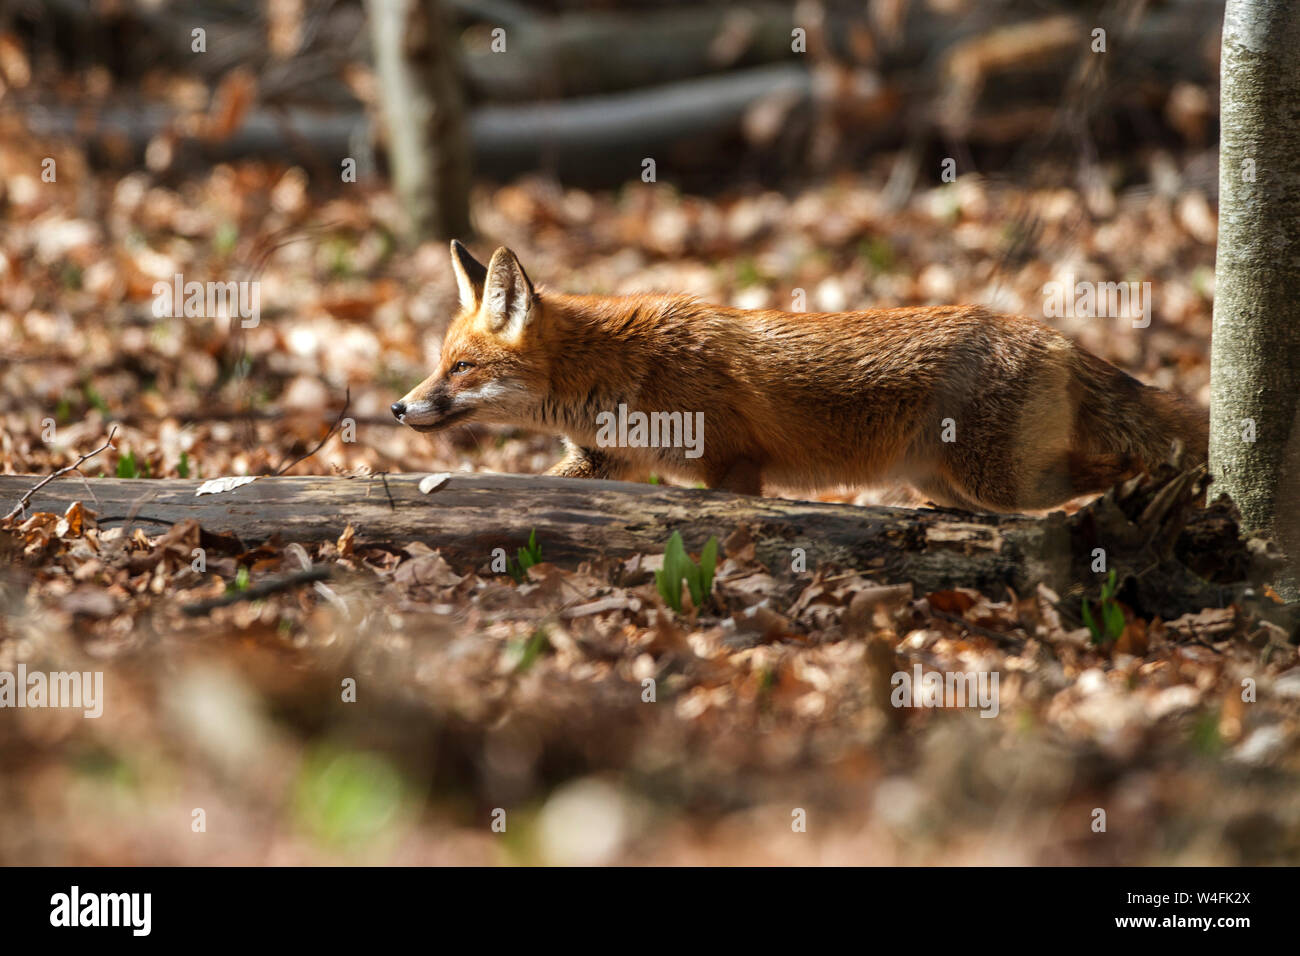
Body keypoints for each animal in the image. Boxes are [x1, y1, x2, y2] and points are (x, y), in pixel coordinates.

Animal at [391, 240, 1207, 513]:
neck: (625, 373)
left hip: (1005, 479)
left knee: (1121, 463)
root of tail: (1051, 334)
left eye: (461, 368)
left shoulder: (734, 465)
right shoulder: (603, 460)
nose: (400, 408)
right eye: (439, 363)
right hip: (950, 484)